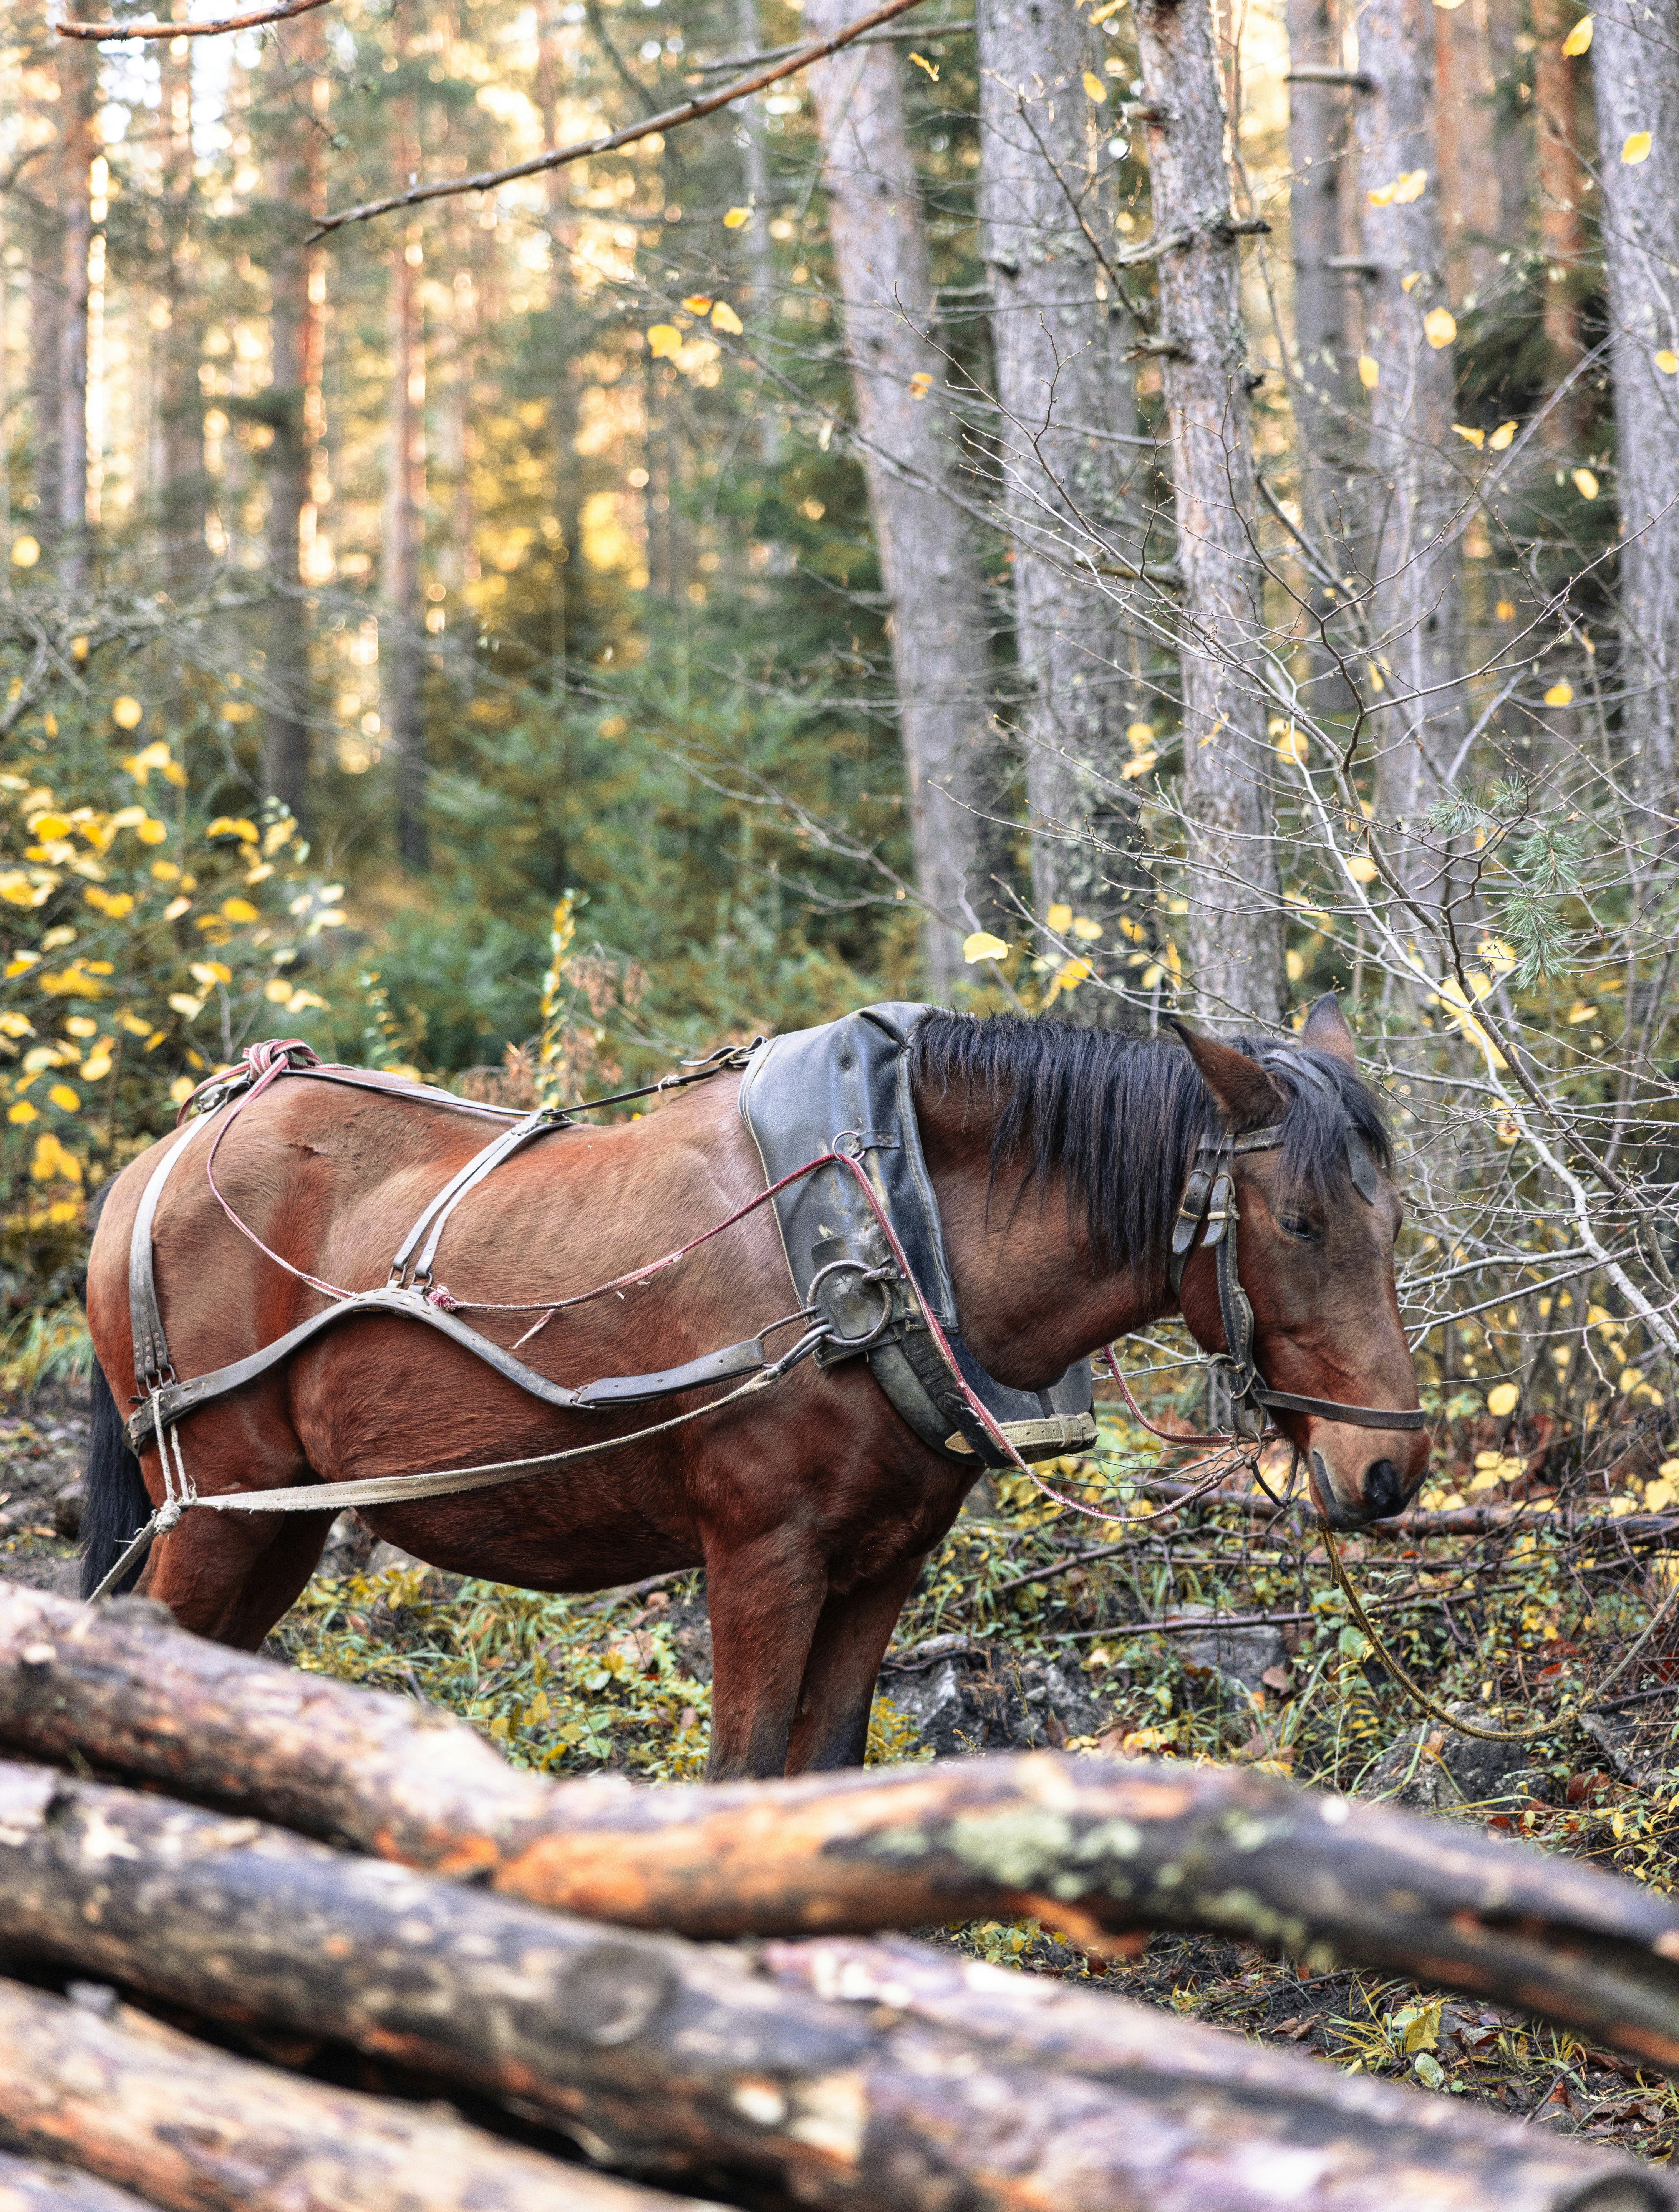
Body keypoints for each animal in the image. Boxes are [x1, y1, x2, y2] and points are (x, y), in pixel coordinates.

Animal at [79, 994, 1427, 1780]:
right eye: (1299, 1222)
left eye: (1392, 1219)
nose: (1389, 1468)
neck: (887, 1228)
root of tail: (159, 1158)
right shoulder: (760, 1555)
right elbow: (738, 1776)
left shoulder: (884, 1563)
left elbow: (820, 1774)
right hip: (217, 1506)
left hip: (278, 1524)